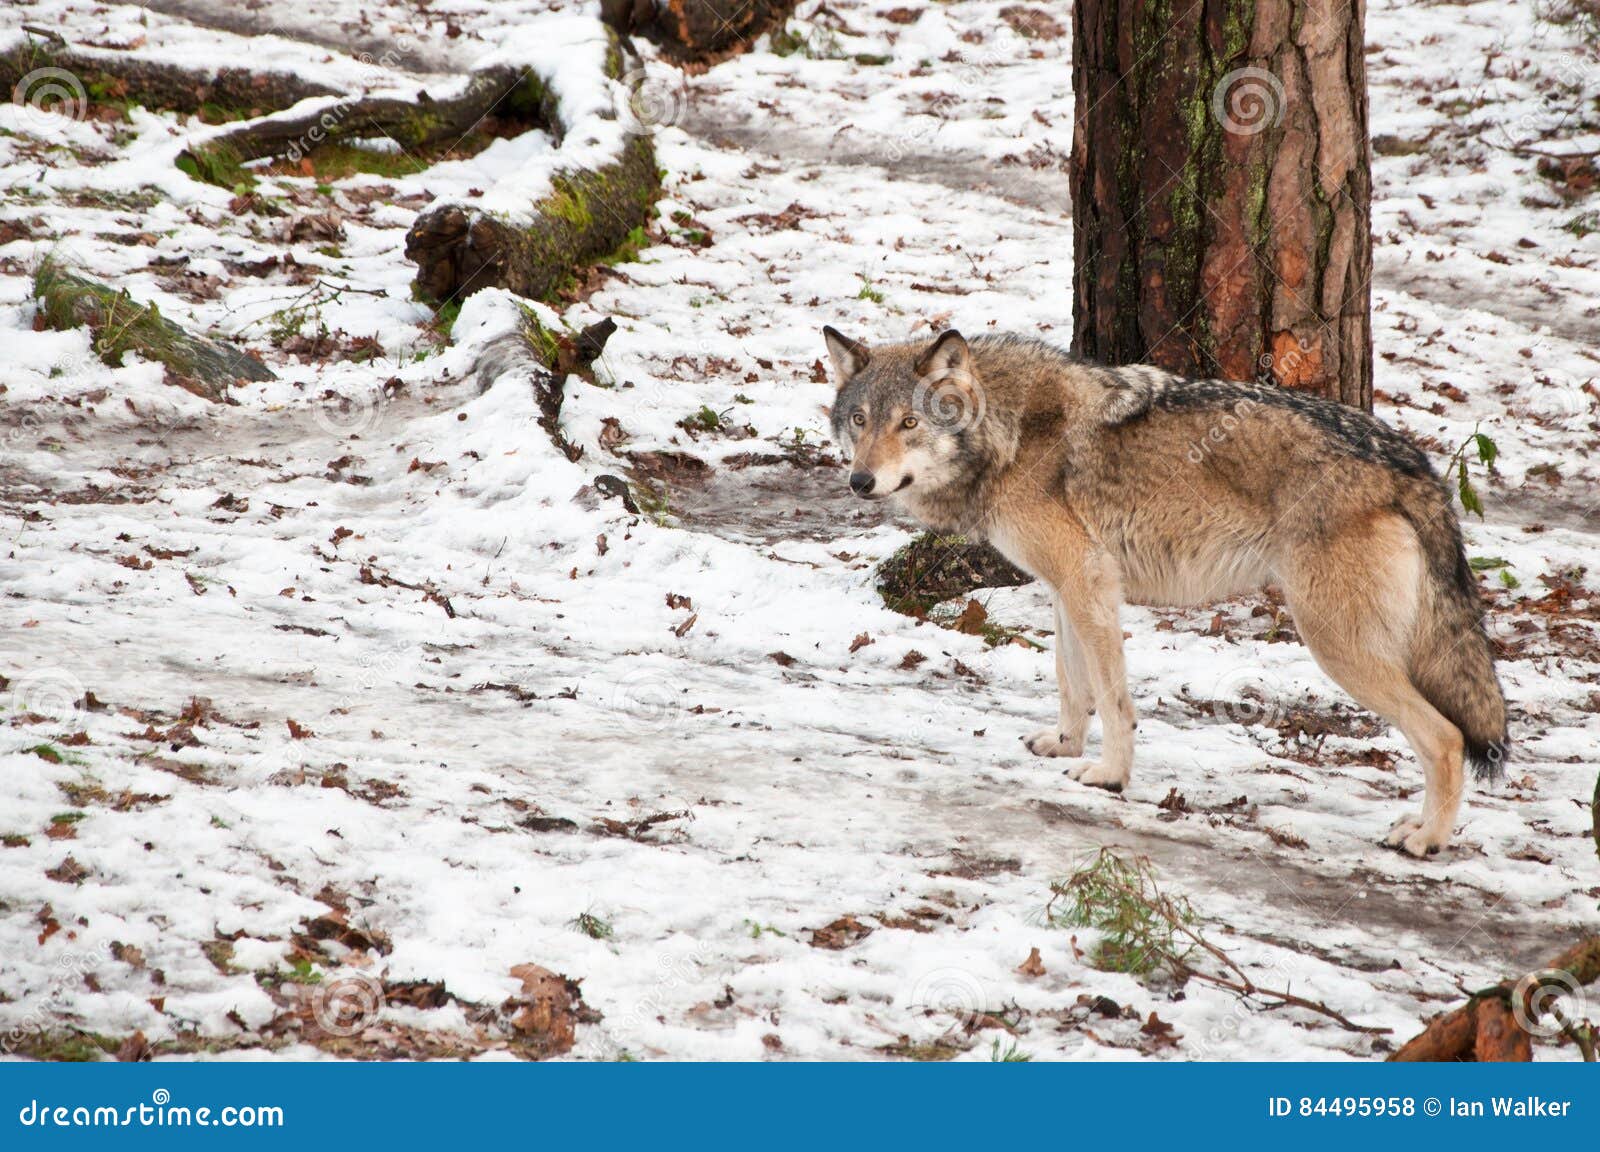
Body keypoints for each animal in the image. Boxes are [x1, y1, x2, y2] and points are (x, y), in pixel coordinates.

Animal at [822, 326, 1508, 857]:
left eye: (909, 423)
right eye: (860, 421)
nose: (860, 481)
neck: (1009, 434)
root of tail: (1412, 462)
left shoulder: (1089, 581)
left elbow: (1111, 697)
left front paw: (1109, 776)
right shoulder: (1066, 587)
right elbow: (1071, 681)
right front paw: (1064, 744)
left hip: (1335, 644)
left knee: (1446, 738)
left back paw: (1426, 840)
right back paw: (1420, 825)